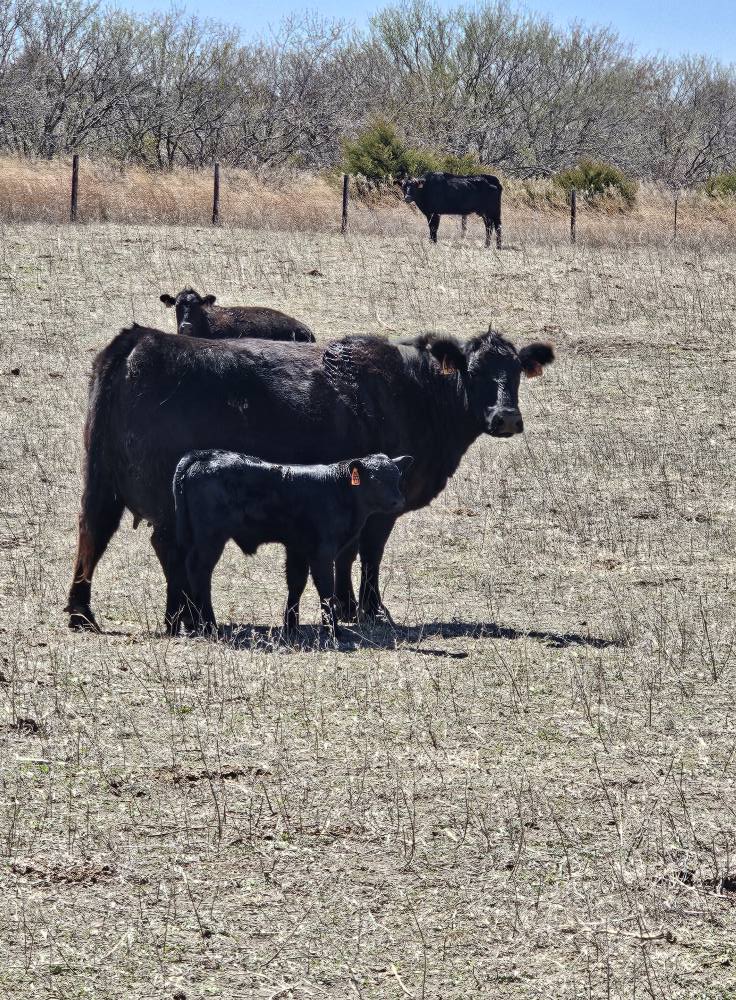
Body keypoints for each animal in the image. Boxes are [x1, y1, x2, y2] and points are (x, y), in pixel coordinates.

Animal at [174, 451, 412, 636]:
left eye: (397, 477)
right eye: (375, 479)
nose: (399, 501)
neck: (338, 490)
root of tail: (206, 455)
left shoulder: (297, 548)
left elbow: (296, 583)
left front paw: (291, 627)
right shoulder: (322, 550)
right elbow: (326, 587)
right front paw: (333, 630)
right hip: (210, 538)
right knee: (200, 570)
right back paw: (209, 626)